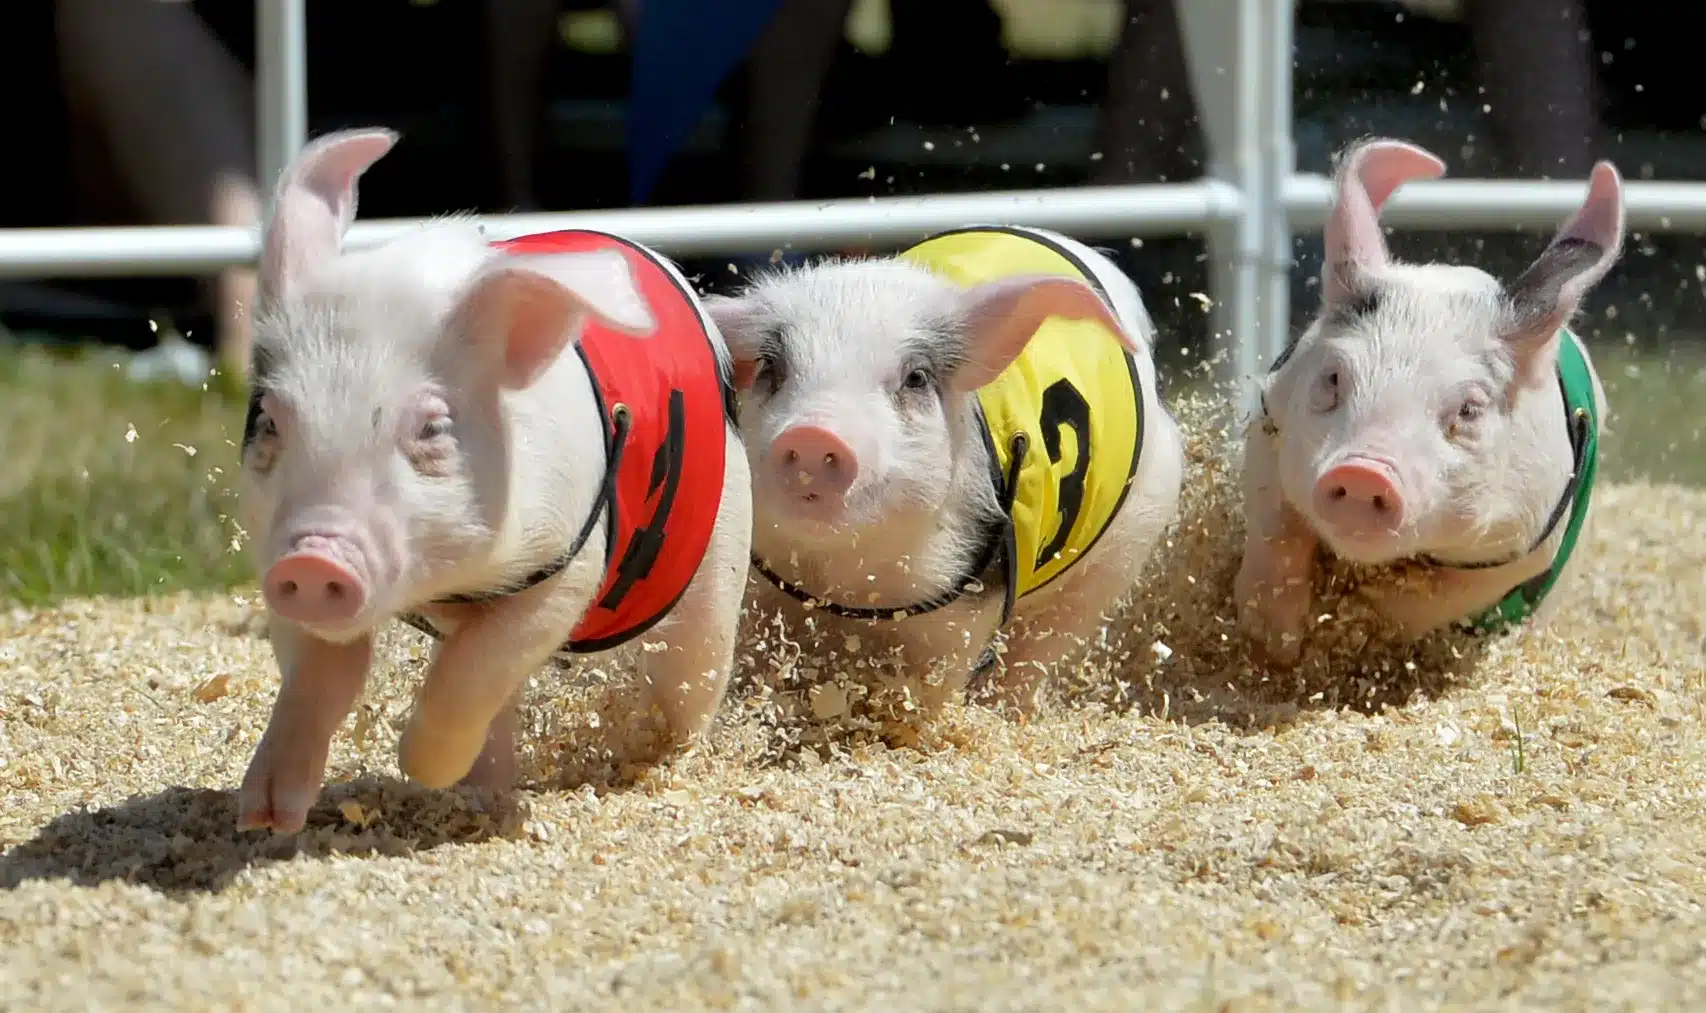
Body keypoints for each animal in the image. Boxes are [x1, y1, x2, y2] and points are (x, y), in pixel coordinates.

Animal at [235, 127, 753, 834]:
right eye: (269, 419)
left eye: (432, 427)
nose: (314, 559)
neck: (446, 589)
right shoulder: (273, 558)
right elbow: (323, 674)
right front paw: (263, 819)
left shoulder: (568, 562)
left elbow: (476, 666)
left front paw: (423, 770)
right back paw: (488, 791)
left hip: (718, 558)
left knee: (689, 677)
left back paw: (654, 762)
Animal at [705, 225, 1186, 711]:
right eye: (772, 369)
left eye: (916, 378)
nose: (812, 433)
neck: (842, 586)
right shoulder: (759, 593)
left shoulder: (960, 614)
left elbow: (926, 693)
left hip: (1115, 558)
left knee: (1039, 652)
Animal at [1234, 137, 1623, 662]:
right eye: (1333, 378)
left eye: (1469, 409)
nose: (1363, 472)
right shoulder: (1270, 420)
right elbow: (1275, 529)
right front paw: (1275, 644)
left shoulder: (1528, 540)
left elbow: (1435, 597)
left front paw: (1356, 621)